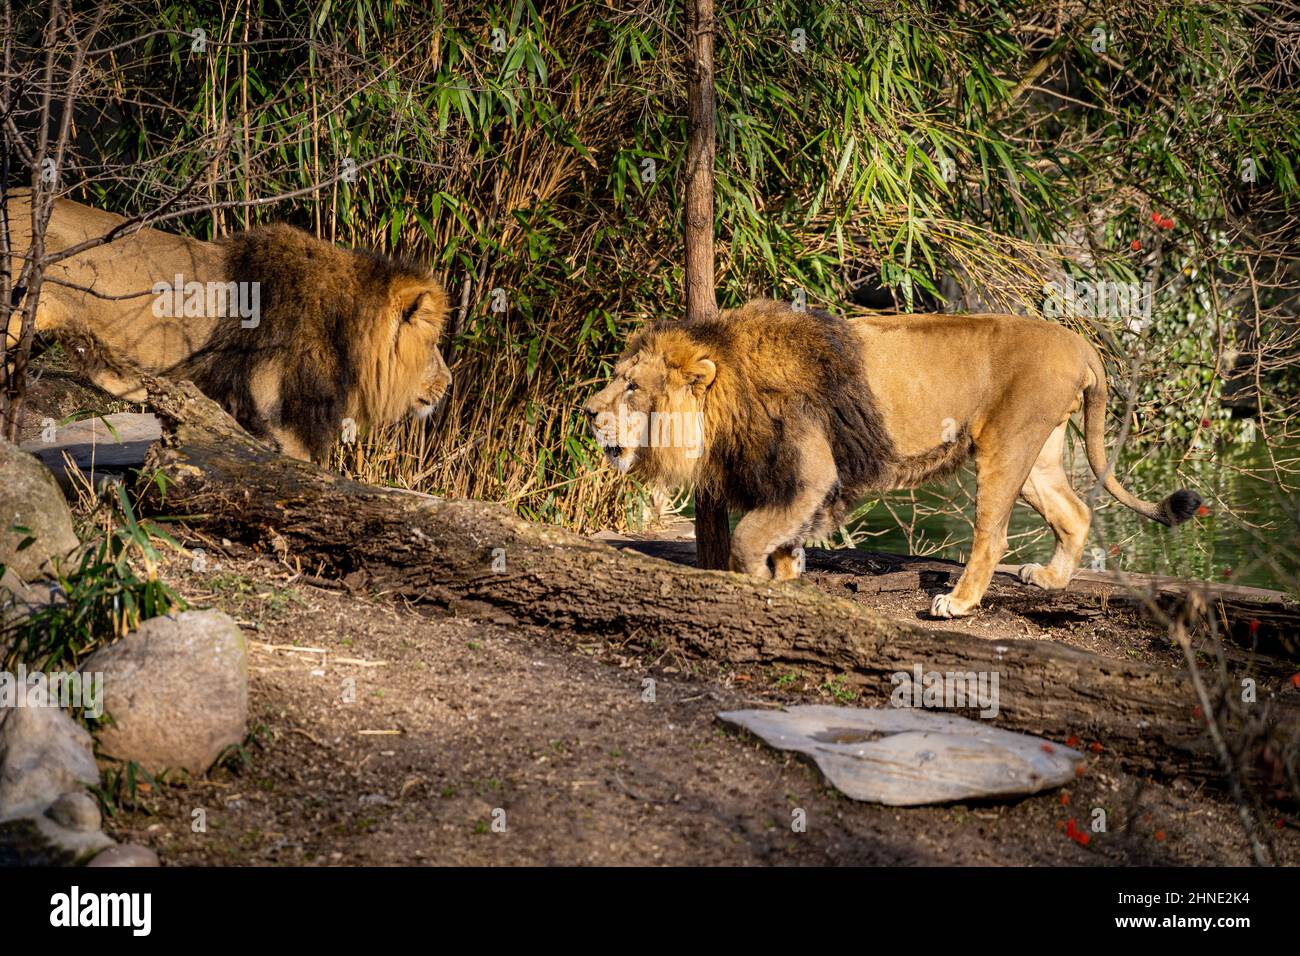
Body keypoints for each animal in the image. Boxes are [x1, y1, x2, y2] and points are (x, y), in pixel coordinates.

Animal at [584, 299, 1201, 619]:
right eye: (618, 379)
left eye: (632, 387)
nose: (588, 412)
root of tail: (1078, 342)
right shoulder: (786, 480)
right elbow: (780, 533)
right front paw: (788, 575)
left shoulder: (812, 470)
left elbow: (749, 534)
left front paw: (760, 581)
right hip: (1040, 457)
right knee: (1076, 512)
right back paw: (1050, 579)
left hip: (1006, 446)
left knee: (992, 535)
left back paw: (958, 602)